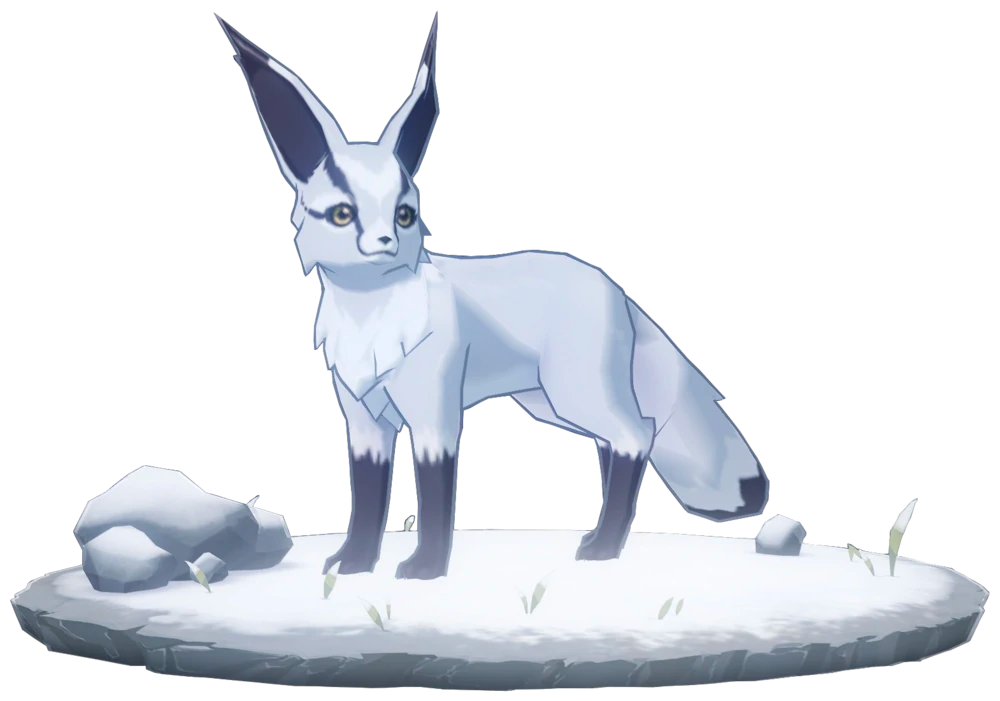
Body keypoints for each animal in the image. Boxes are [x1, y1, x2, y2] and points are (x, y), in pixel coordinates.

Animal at [215, 12, 769, 581]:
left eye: (403, 214)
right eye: (344, 214)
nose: (386, 242)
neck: (372, 322)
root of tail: (612, 285)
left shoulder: (434, 411)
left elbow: (435, 492)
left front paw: (426, 570)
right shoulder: (363, 419)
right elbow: (366, 499)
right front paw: (353, 565)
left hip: (574, 392)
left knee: (639, 433)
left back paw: (604, 549)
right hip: (555, 403)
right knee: (616, 442)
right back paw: (599, 538)